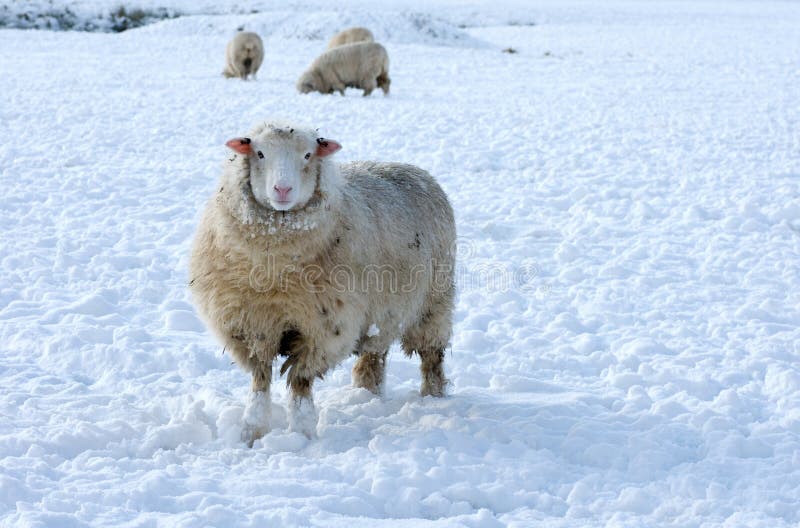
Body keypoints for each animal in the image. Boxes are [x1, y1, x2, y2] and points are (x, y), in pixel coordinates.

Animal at [189, 121, 455, 445]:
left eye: (307, 154)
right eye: (260, 153)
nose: (283, 189)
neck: (274, 276)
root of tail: (408, 166)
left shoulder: (323, 329)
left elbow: (300, 383)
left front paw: (301, 434)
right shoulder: (250, 327)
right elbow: (260, 382)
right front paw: (251, 433)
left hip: (434, 303)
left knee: (431, 358)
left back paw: (433, 398)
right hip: (383, 312)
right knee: (373, 355)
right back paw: (365, 394)